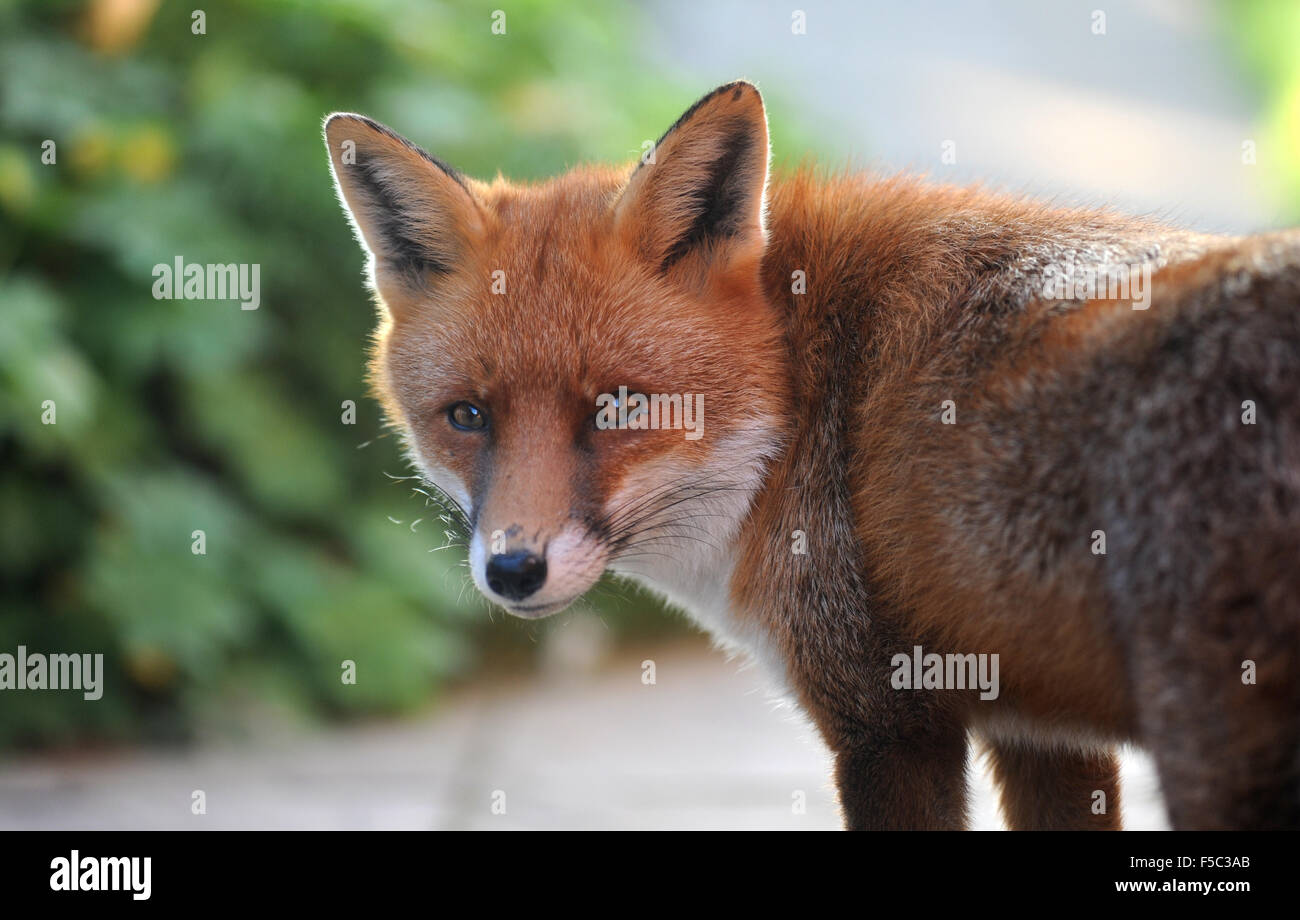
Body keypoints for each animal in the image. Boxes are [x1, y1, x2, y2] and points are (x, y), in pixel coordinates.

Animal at [323, 81, 1300, 830]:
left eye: (620, 407)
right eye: (467, 416)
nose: (513, 569)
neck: (805, 397)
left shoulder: (889, 722)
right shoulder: (1046, 728)